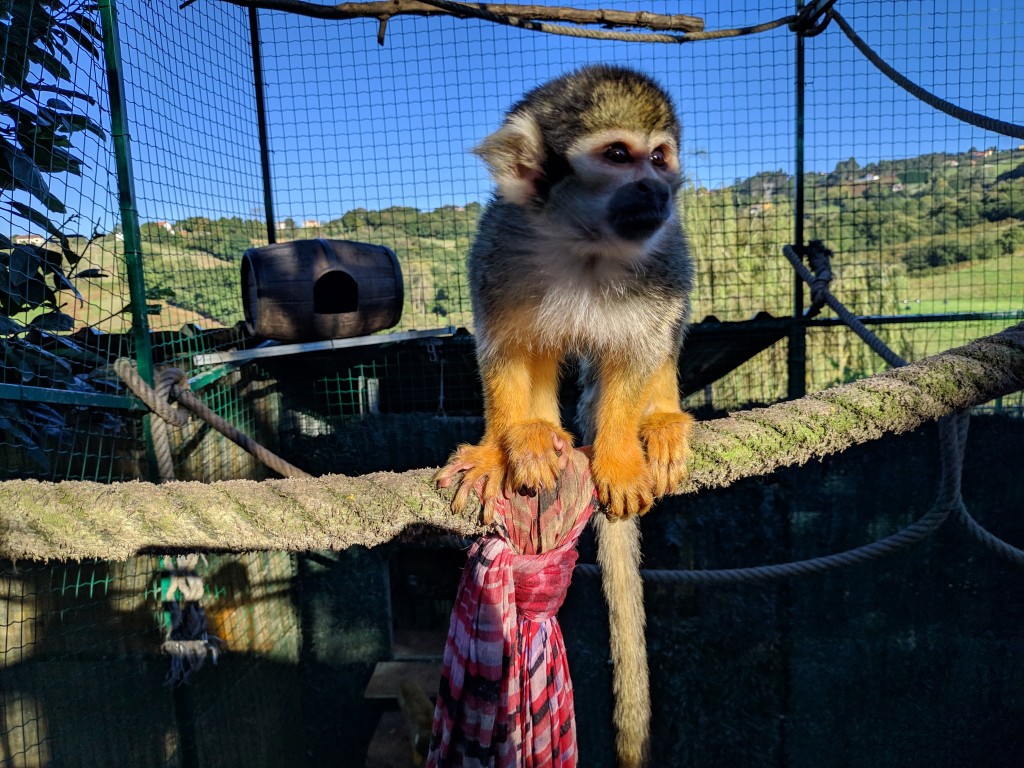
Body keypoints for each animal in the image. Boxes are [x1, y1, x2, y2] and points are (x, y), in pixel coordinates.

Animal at [435, 65, 694, 768]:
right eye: (619, 155)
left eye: (660, 157)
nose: (656, 188)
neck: (586, 246)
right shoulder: (499, 245)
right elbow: (504, 349)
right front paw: (499, 449)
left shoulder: (662, 258)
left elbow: (638, 348)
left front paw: (620, 455)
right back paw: (536, 438)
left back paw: (661, 419)